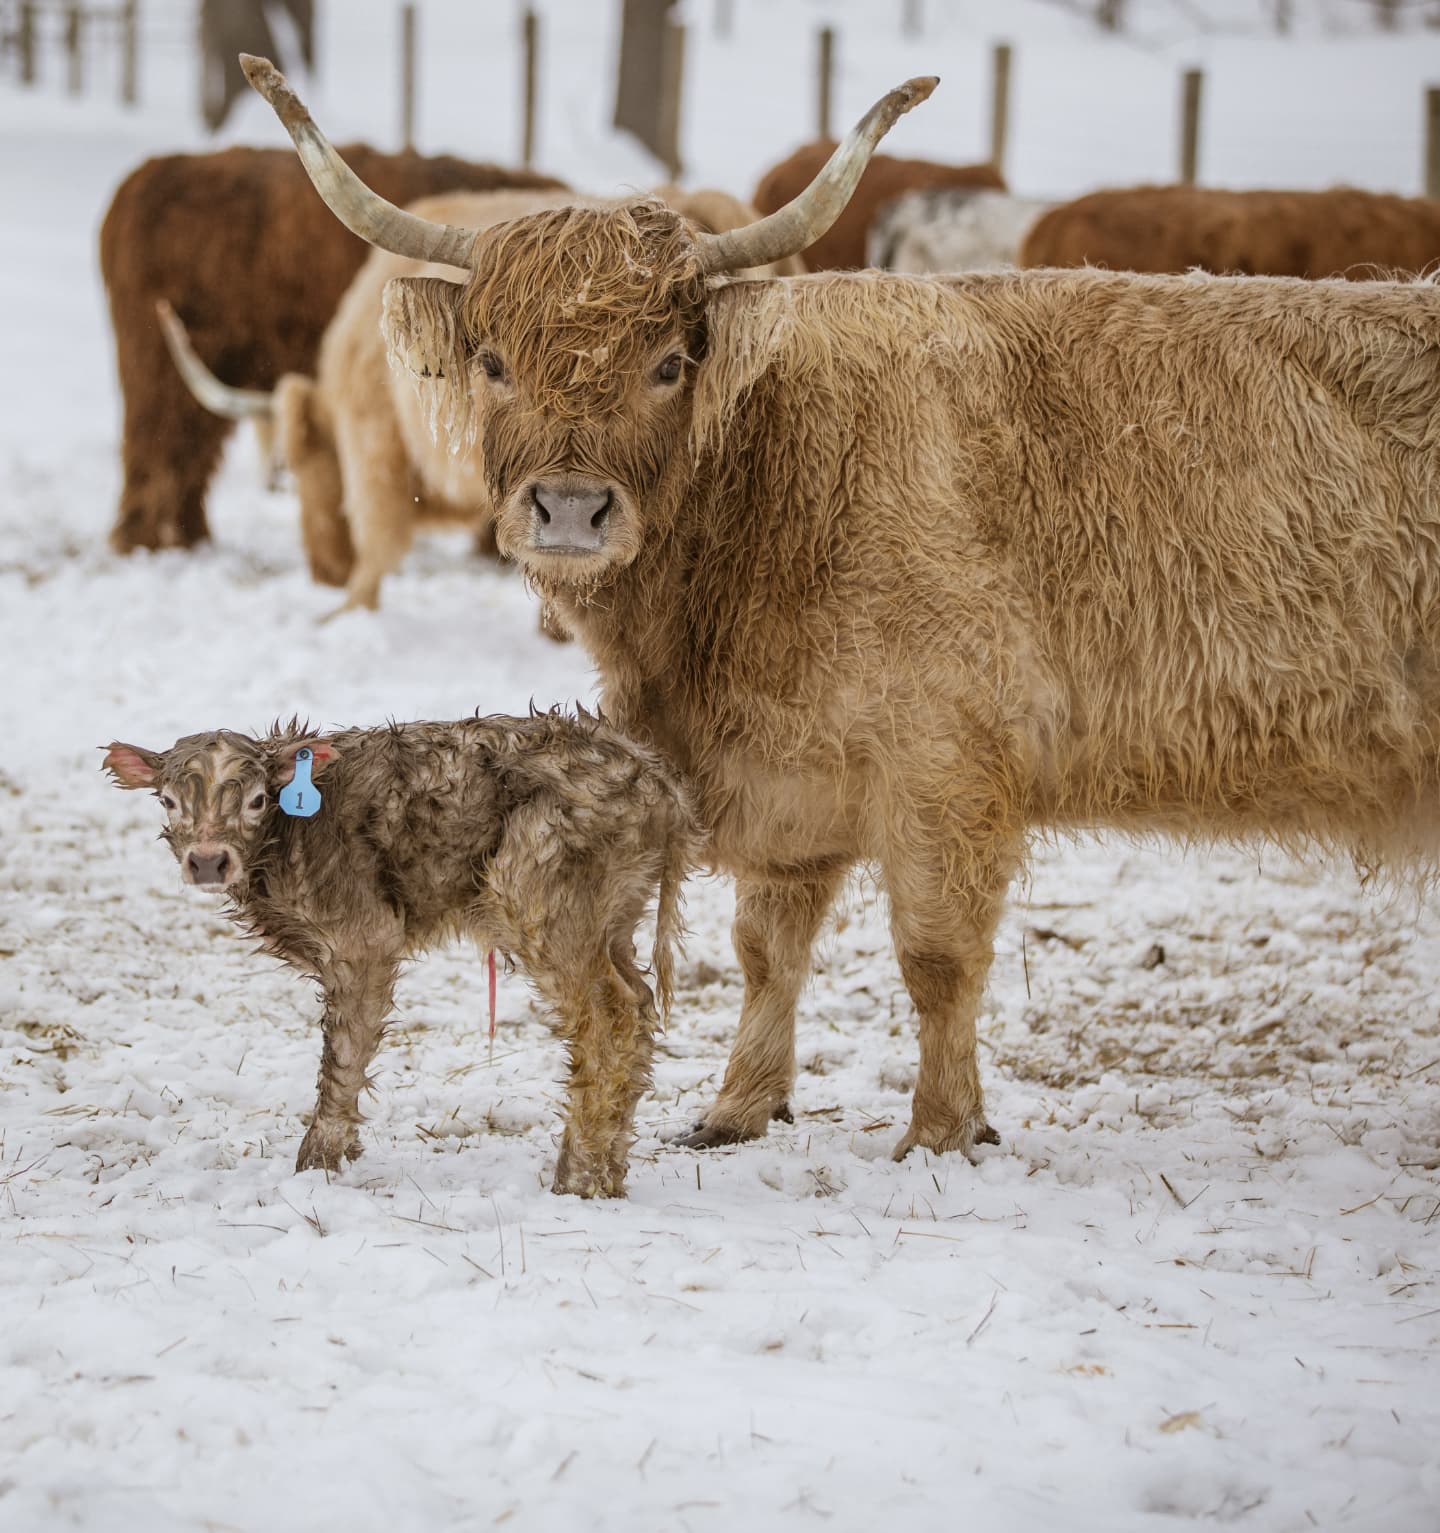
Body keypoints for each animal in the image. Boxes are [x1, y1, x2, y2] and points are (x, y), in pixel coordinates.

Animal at [102, 711, 701, 1199]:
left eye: (255, 800)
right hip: (613, 917)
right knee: (638, 1006)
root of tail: (659, 785)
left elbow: (346, 1050)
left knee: (607, 1018)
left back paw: (577, 1178)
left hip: (538, 898)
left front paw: (317, 1165)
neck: (290, 835)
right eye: (168, 801)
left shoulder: (363, 936)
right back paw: (611, 1172)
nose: (208, 860)